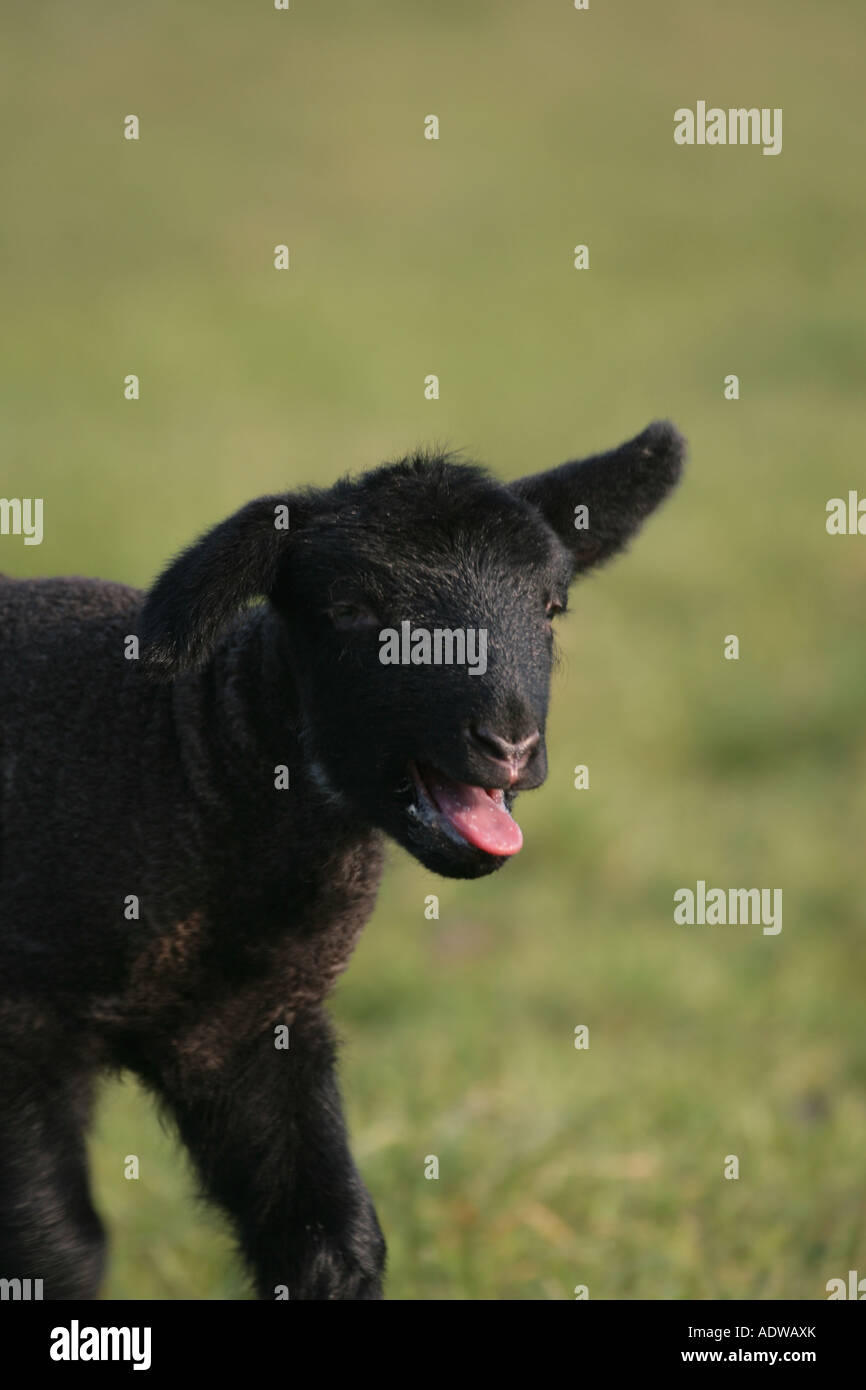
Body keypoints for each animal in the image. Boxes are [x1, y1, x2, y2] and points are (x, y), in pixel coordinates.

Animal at [0, 420, 684, 1300]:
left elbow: (330, 1238)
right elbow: (58, 1251)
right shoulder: (23, 1028)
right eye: (353, 610)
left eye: (551, 607)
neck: (182, 755)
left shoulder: (254, 1031)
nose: (508, 745)